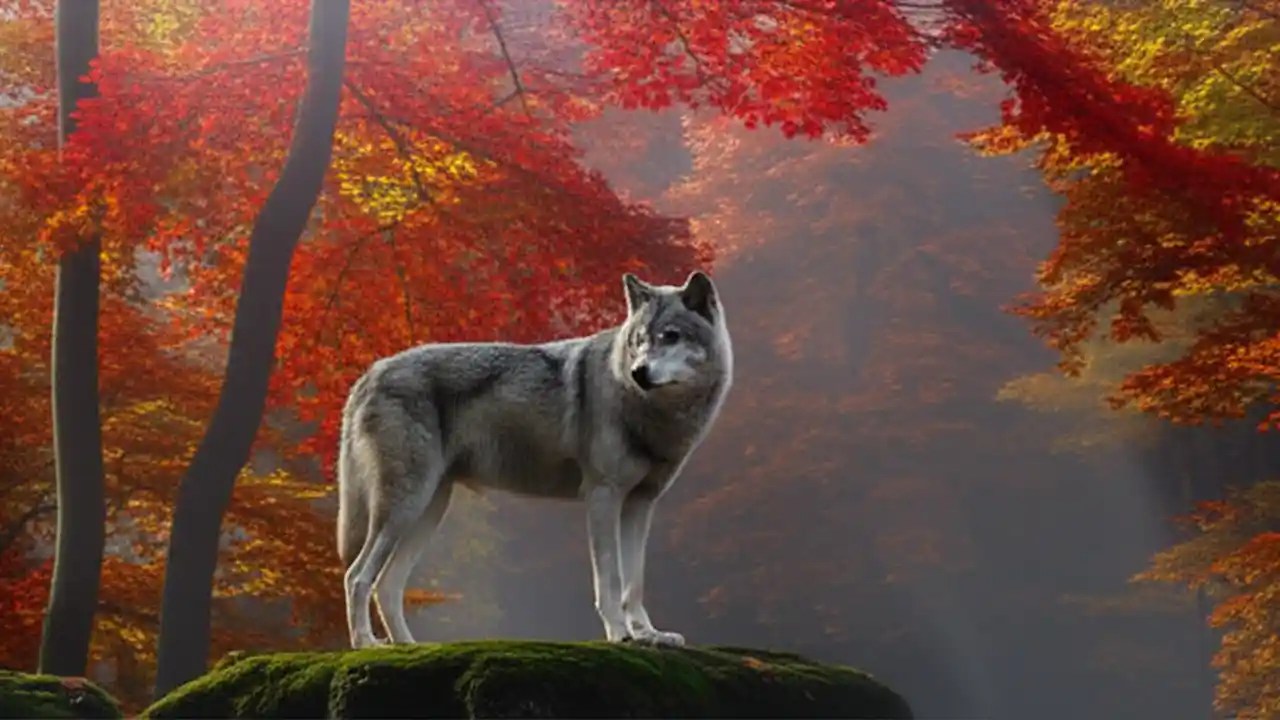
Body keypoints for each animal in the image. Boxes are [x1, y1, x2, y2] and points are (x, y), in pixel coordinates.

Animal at [336, 270, 732, 650]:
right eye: (638, 342)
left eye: (670, 336)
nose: (639, 372)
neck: (650, 413)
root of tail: (370, 372)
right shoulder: (603, 498)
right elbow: (610, 580)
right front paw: (620, 634)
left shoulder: (640, 505)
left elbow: (633, 583)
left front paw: (649, 634)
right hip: (403, 509)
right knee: (357, 576)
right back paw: (365, 643)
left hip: (427, 512)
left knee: (387, 585)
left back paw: (407, 646)